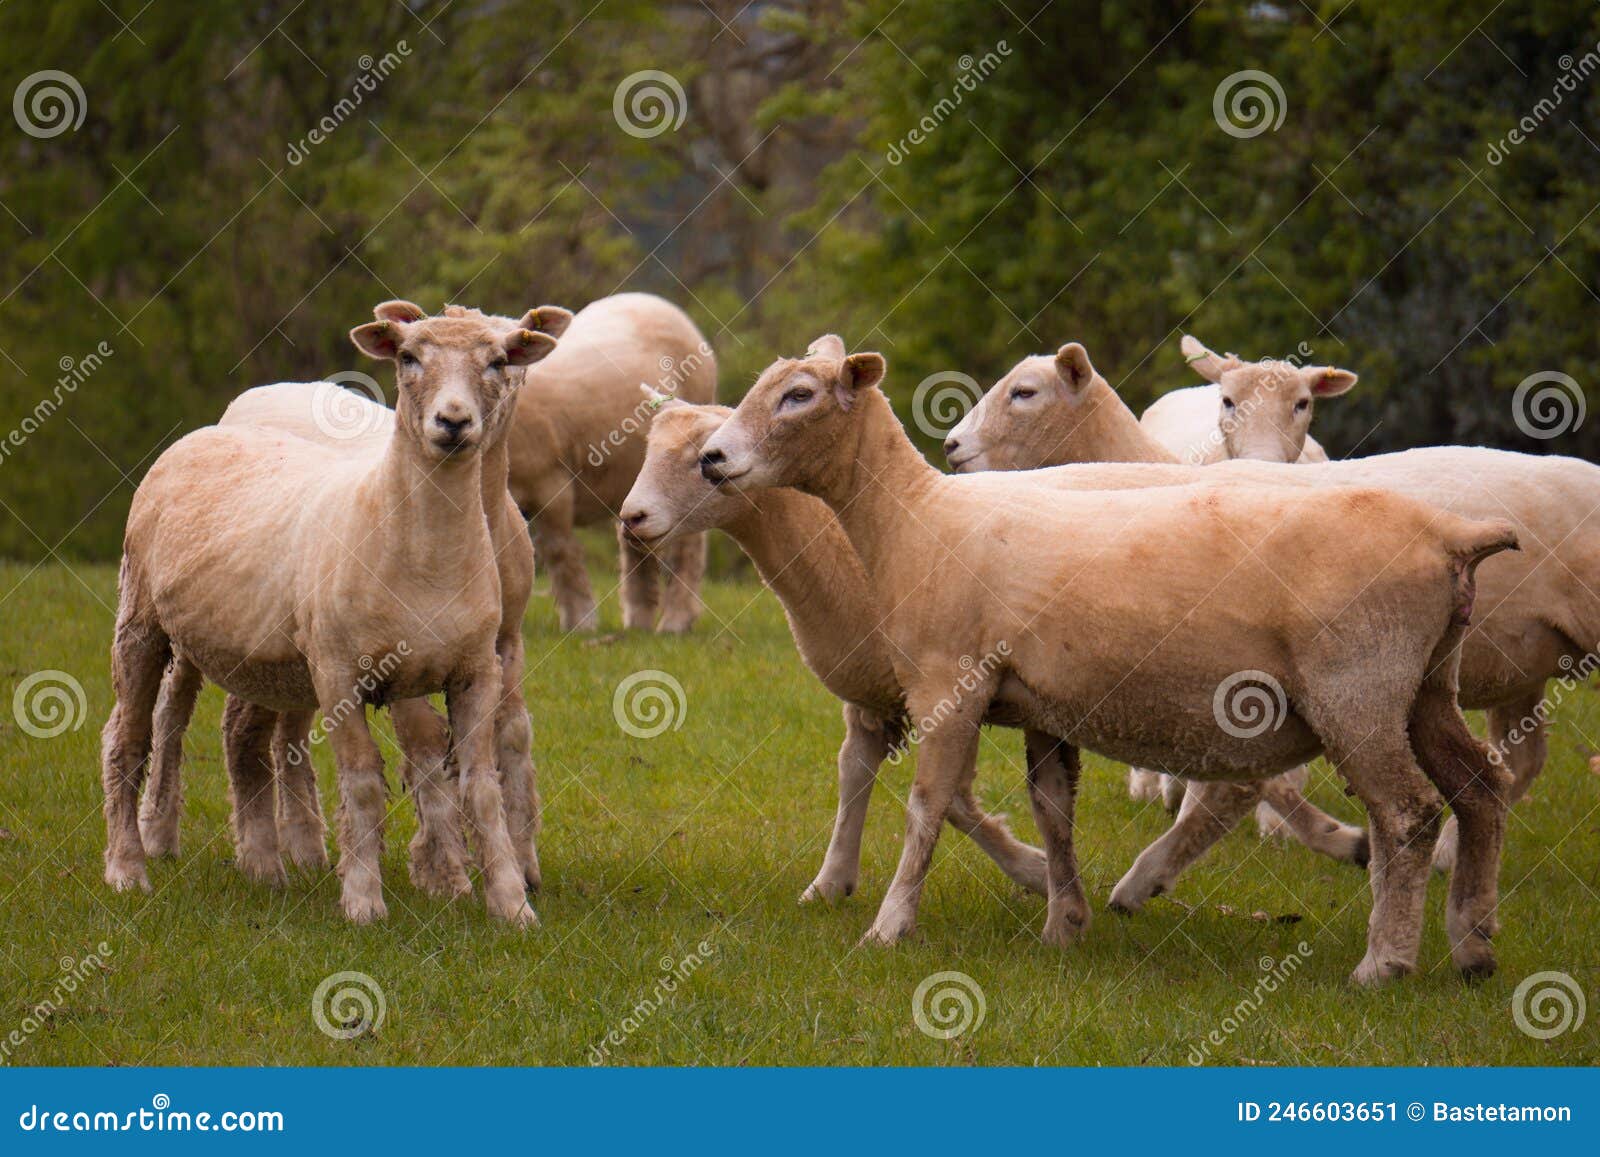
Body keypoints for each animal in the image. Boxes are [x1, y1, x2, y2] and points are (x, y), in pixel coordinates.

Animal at [103, 306, 558, 925]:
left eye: (500, 360)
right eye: (408, 357)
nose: (454, 422)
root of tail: (203, 434)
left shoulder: (480, 664)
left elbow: (482, 777)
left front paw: (511, 900)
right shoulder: (343, 673)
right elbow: (367, 778)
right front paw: (373, 896)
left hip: (263, 655)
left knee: (244, 736)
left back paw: (269, 864)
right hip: (145, 624)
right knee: (137, 735)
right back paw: (134, 862)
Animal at [507, 293, 716, 633]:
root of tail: (650, 298)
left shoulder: (550, 485)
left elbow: (561, 551)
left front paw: (581, 623)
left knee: (688, 544)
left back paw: (676, 621)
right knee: (634, 538)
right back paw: (638, 621)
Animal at [618, 386, 1047, 903]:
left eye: (700, 459)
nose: (630, 518)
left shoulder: (953, 688)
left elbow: (953, 799)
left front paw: (1035, 868)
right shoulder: (871, 693)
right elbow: (855, 773)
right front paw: (831, 882)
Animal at [699, 336, 1517, 983]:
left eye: (799, 395)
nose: (711, 458)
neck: (912, 517)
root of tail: (1451, 536)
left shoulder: (948, 685)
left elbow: (927, 807)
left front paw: (890, 927)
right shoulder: (1040, 701)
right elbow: (1053, 811)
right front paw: (1066, 924)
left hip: (1359, 688)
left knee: (1408, 813)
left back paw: (1385, 963)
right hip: (1426, 685)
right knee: (1482, 789)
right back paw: (1472, 946)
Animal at [944, 340, 1600, 894]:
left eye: (1024, 391)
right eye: (1226, 401)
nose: (950, 446)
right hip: (1519, 665)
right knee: (1517, 762)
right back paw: (1450, 858)